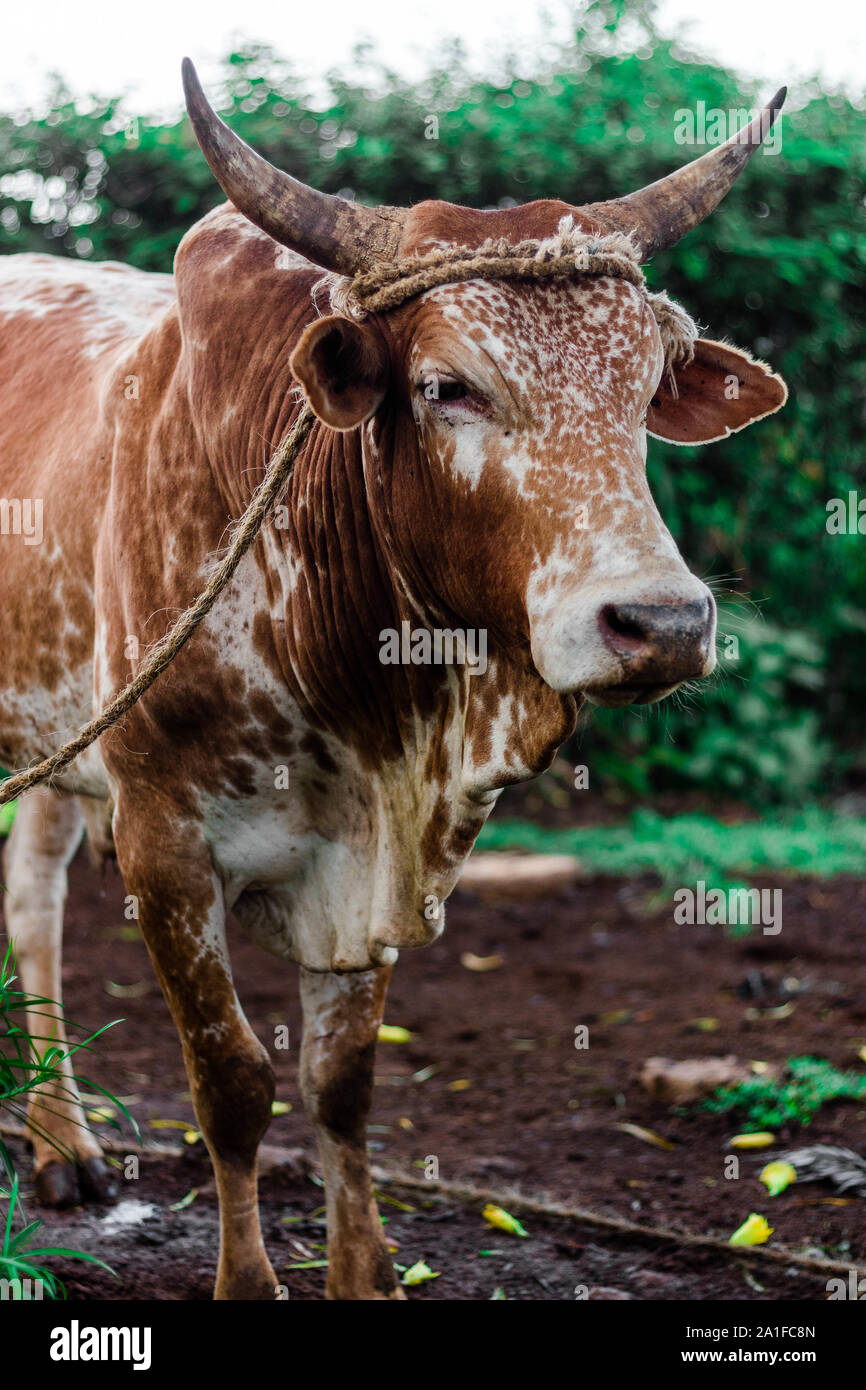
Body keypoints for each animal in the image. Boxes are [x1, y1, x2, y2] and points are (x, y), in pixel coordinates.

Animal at [0, 61, 787, 1300]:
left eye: (646, 384)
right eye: (444, 385)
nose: (659, 623)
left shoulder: (364, 847)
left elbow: (342, 1082)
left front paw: (362, 1270)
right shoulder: (162, 837)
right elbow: (232, 1082)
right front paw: (248, 1279)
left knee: (29, 896)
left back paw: (61, 1142)